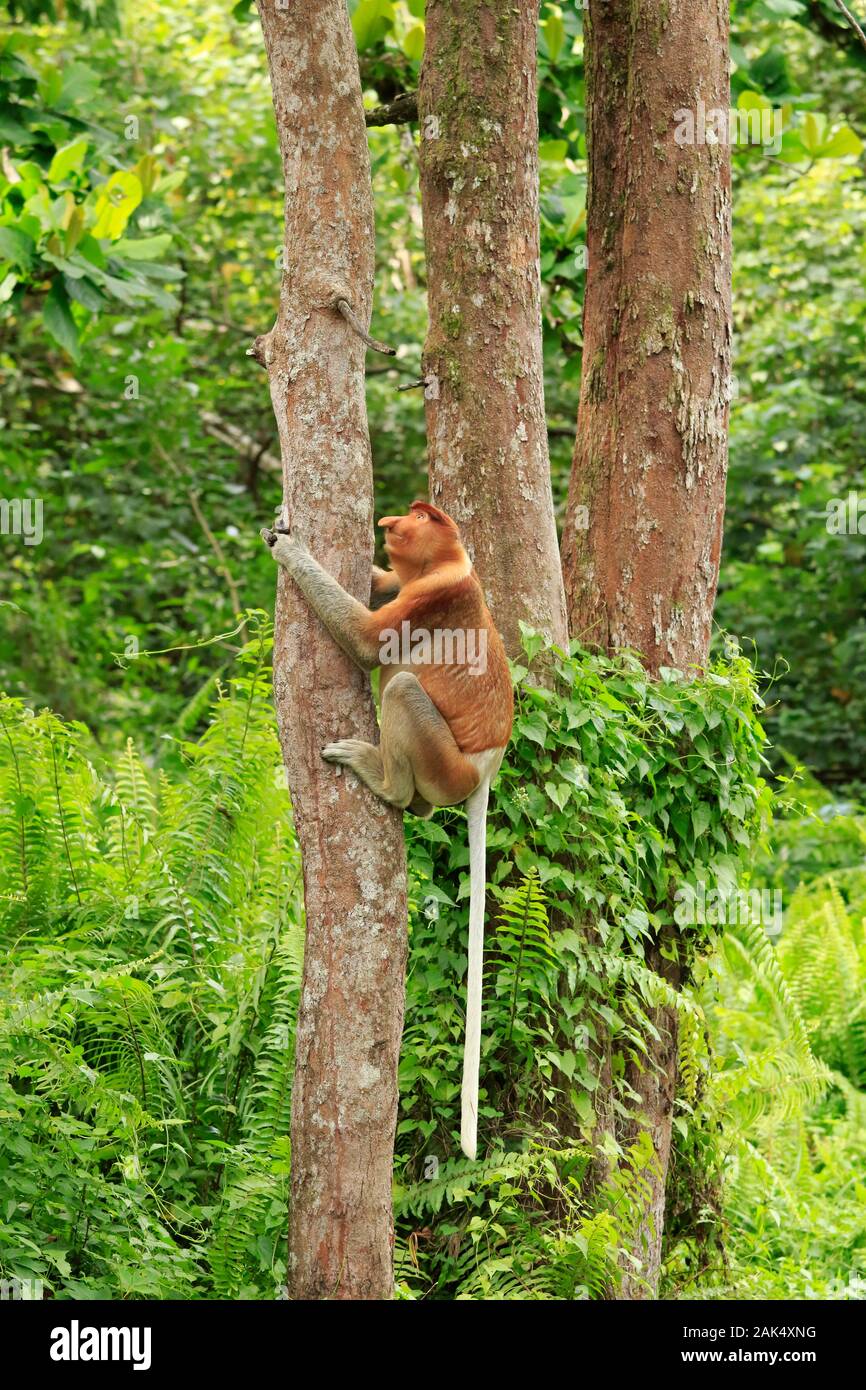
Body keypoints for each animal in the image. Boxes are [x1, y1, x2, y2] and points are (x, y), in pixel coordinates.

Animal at [260, 501, 513, 1160]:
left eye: (420, 516)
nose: (391, 519)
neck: (455, 560)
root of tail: (485, 772)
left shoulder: (431, 593)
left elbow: (369, 640)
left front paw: (288, 550)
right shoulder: (413, 580)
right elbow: (382, 584)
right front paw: (276, 526)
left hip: (442, 763)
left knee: (399, 682)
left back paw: (385, 781)